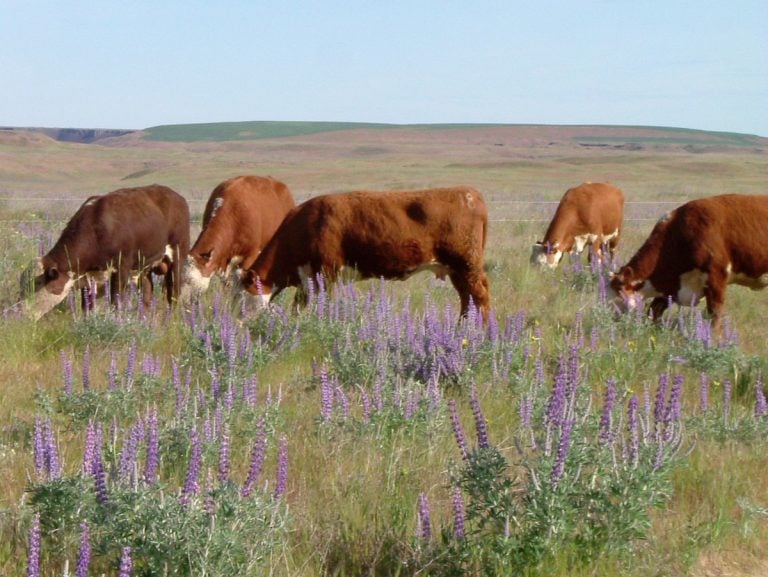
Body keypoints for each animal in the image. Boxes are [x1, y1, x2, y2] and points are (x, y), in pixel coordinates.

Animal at [22, 184, 190, 319]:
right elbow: (87, 304)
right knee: (147, 293)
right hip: (144, 266)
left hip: (178, 255)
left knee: (174, 293)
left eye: (37, 284)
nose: (22, 312)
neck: (97, 229)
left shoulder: (121, 268)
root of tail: (176, 196)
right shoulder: (88, 276)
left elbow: (115, 301)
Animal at [240, 186, 491, 321]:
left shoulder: (326, 273)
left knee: (479, 296)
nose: (237, 323)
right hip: (457, 271)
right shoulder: (307, 279)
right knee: (467, 298)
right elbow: (298, 306)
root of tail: (469, 193)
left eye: (239, 296)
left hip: (466, 266)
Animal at [609, 194, 768, 332]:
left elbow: (714, 314)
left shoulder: (716, 277)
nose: (607, 319)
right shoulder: (671, 286)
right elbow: (655, 310)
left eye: (617, 298)